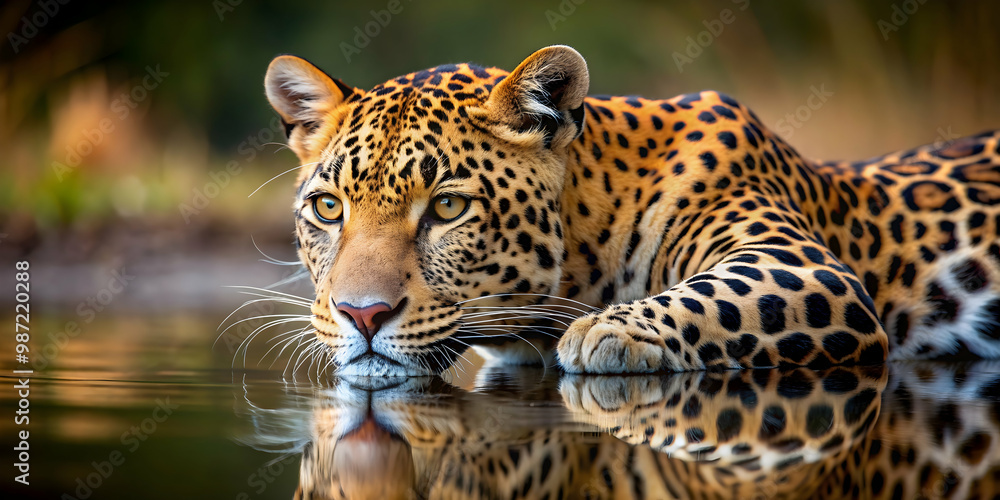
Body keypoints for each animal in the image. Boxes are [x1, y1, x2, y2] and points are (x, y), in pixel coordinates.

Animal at [262, 44, 1000, 376]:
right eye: (328, 208)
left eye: (446, 207)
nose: (361, 315)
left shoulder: (809, 270)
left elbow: (717, 295)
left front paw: (609, 332)